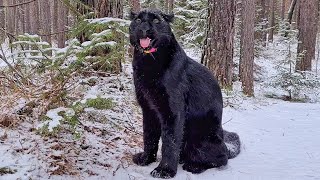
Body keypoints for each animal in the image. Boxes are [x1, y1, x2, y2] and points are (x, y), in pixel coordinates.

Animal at [129, 9, 240, 178]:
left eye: (156, 21)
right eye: (138, 20)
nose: (144, 28)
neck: (149, 62)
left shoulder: (172, 111)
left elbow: (170, 142)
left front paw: (164, 171)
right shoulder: (148, 109)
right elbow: (149, 136)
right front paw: (146, 159)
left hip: (201, 137)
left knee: (221, 158)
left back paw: (194, 166)